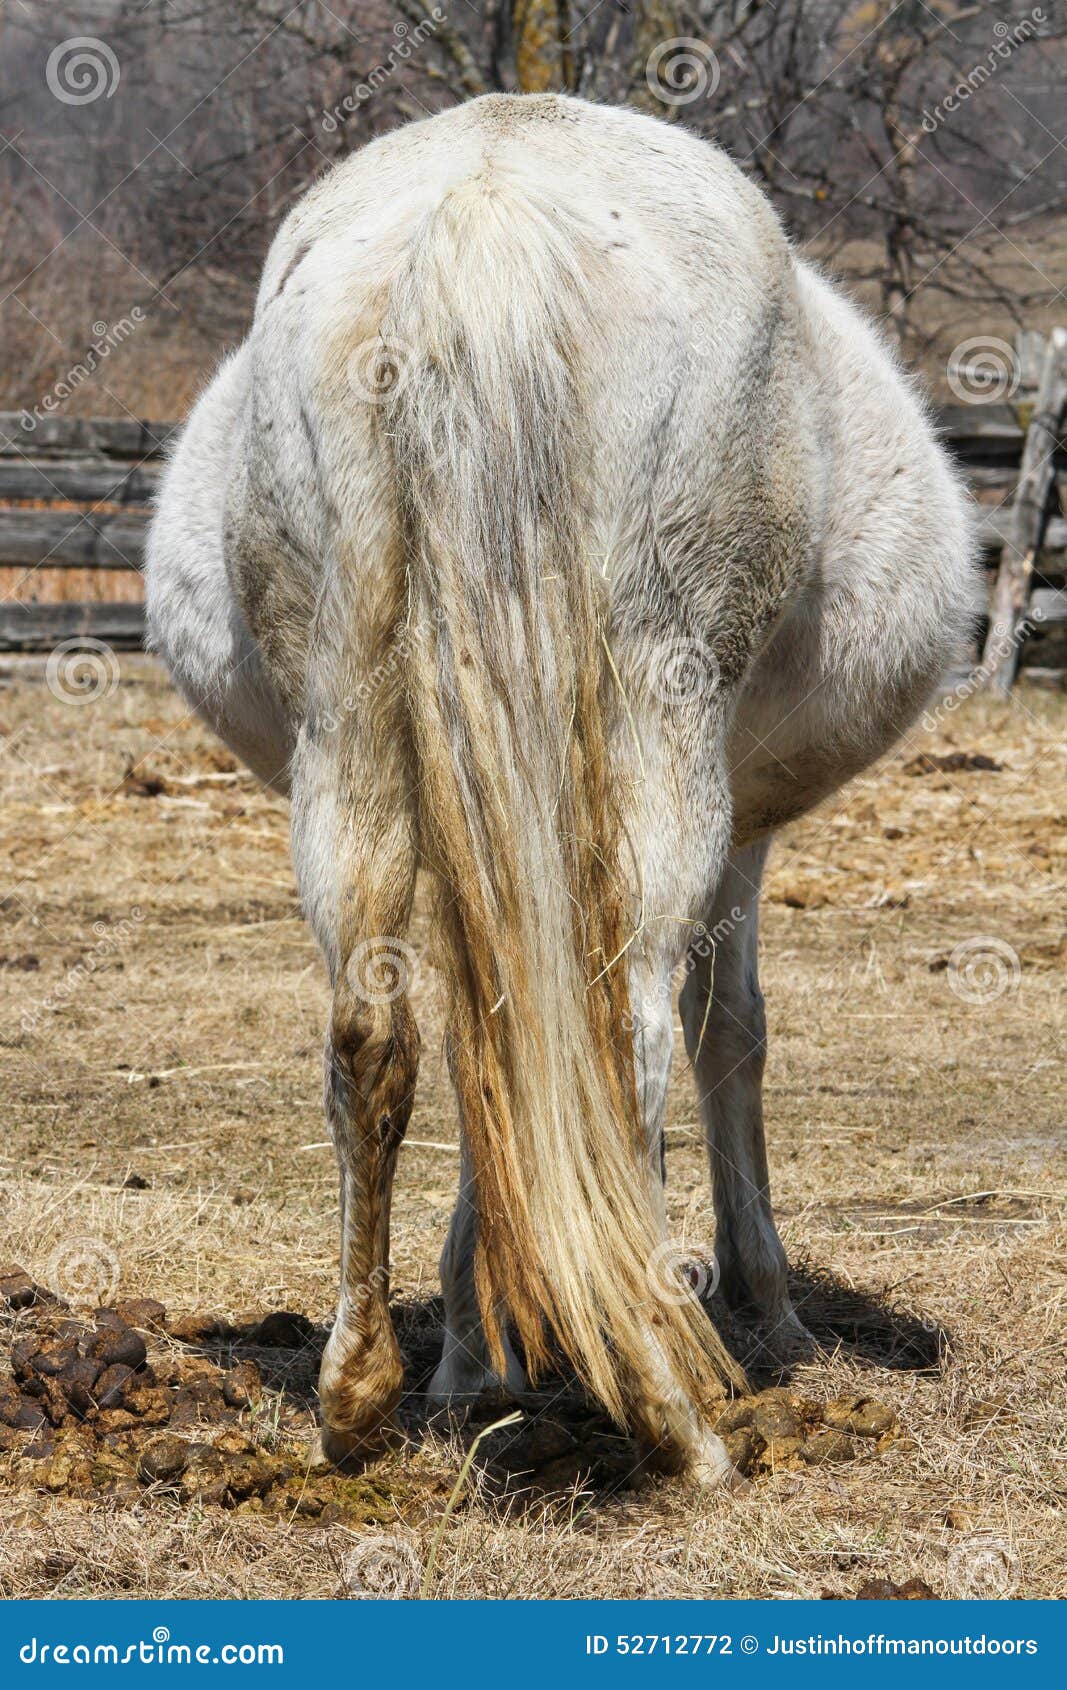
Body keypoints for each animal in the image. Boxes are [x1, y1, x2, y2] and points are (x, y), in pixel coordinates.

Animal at [145, 92, 976, 1486]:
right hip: (659, 728)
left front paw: (477, 1349)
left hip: (348, 732)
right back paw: (671, 1408)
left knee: (377, 1034)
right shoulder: (737, 833)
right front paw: (761, 1305)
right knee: (621, 1038)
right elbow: (724, 1029)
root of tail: (488, 205)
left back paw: (360, 1392)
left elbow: (494, 1061)